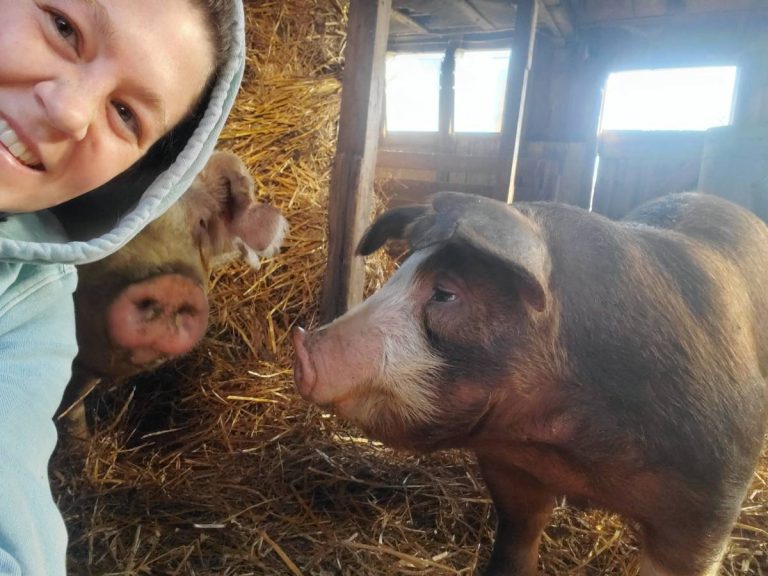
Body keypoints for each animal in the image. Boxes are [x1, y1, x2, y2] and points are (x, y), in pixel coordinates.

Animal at [292, 191, 768, 576]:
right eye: (397, 273)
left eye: (445, 292)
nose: (303, 345)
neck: (567, 448)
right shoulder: (510, 467)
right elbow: (518, 535)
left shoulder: (713, 496)